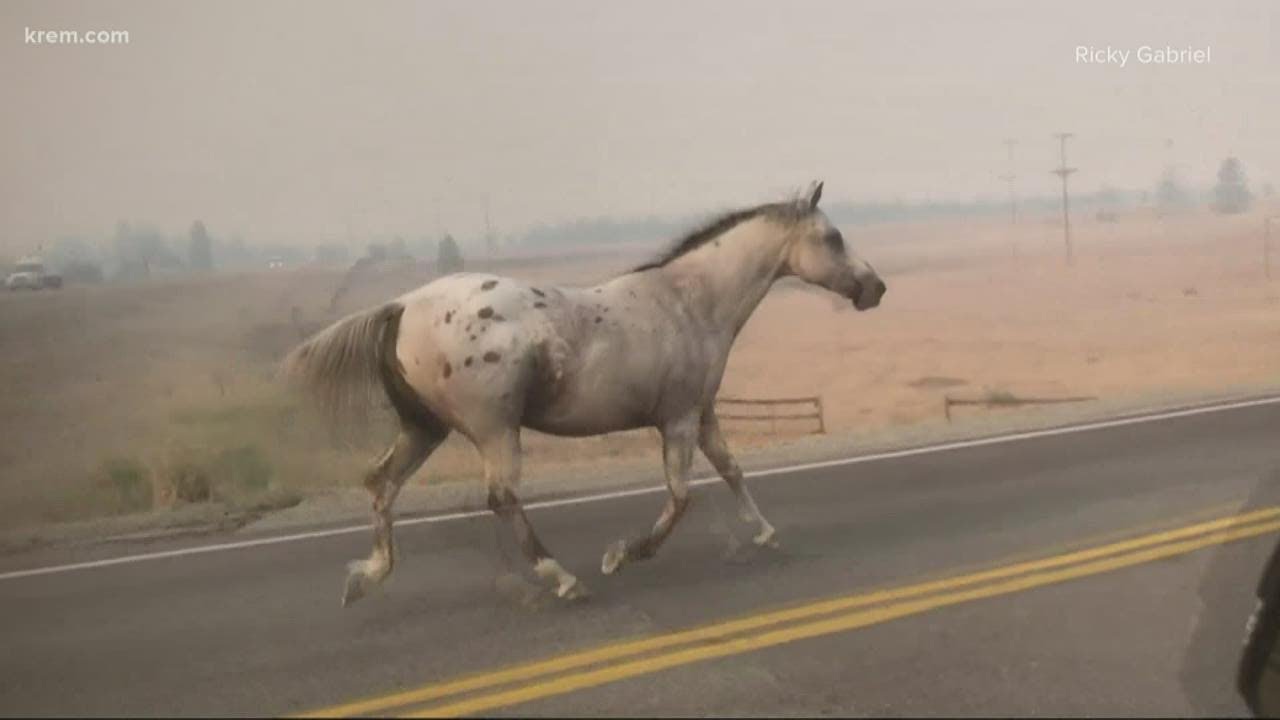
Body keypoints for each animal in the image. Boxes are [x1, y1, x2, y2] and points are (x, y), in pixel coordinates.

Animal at [283, 181, 886, 606]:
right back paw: (565, 579)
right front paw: (622, 555)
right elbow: (681, 496)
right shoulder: (678, 419)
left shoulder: (703, 413)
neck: (689, 301)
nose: (875, 288)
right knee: (501, 498)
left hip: (424, 428)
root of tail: (403, 307)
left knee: (381, 483)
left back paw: (365, 578)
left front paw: (764, 533)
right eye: (833, 237)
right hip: (493, 429)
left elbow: (731, 469)